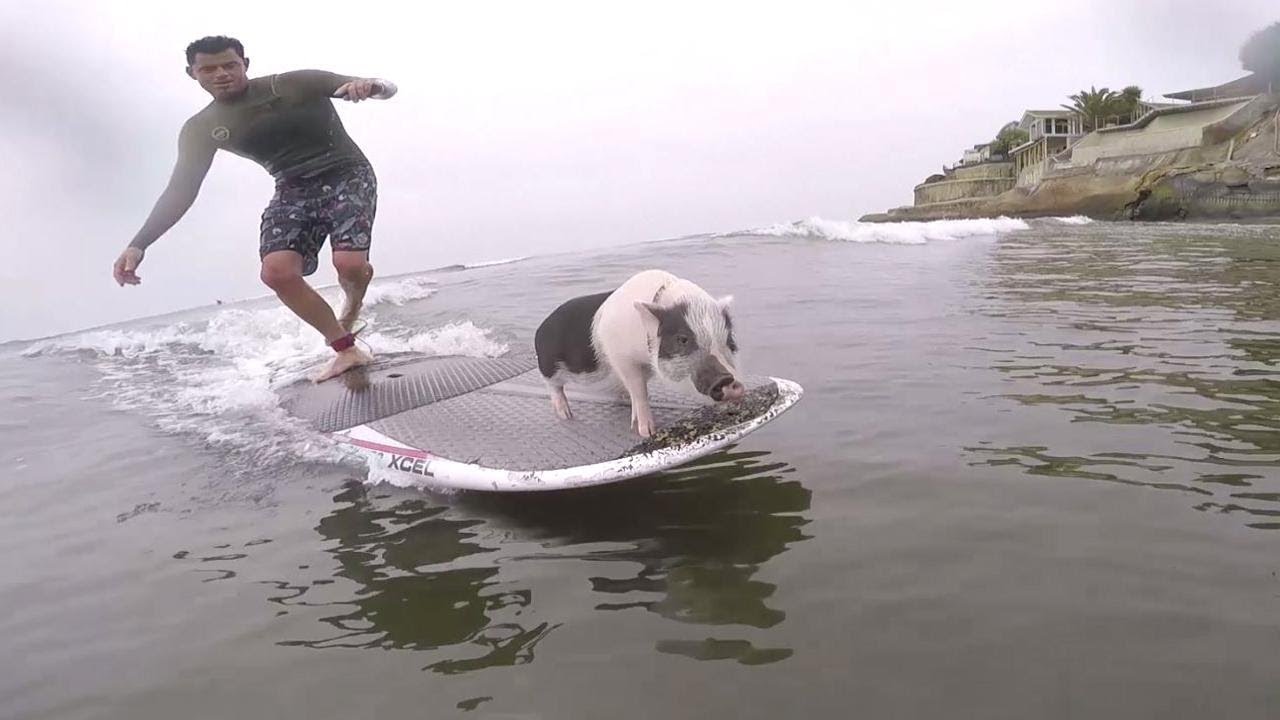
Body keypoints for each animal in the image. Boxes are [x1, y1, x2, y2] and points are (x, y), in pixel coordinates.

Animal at [534, 269, 746, 438]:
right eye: (682, 339)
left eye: (729, 339)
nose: (728, 380)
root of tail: (541, 327)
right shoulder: (621, 358)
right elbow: (639, 390)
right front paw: (647, 433)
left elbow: (636, 391)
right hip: (548, 365)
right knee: (553, 386)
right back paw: (566, 415)